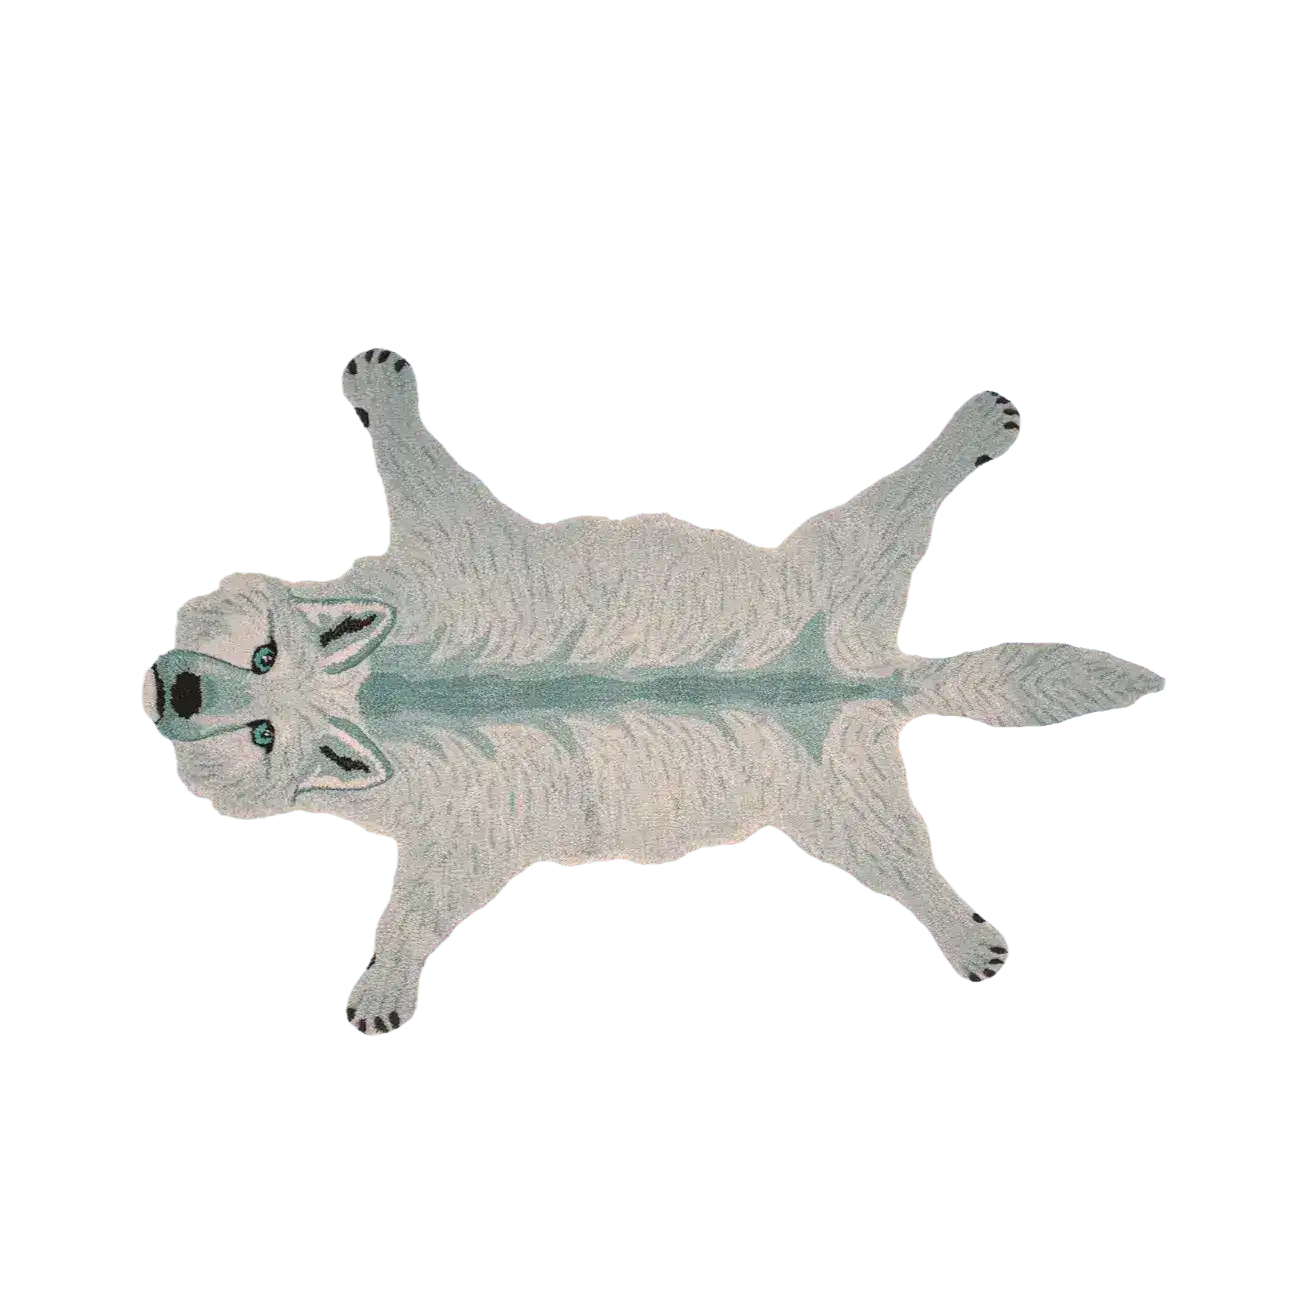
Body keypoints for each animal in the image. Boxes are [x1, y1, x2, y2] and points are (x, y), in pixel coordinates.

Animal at [140, 347, 1167, 1035]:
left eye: (264, 668)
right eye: (264, 709)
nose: (180, 690)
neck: (381, 695)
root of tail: (887, 678)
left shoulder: (456, 569)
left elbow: (433, 487)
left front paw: (388, 971)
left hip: (823, 607)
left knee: (880, 520)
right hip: (833, 773)